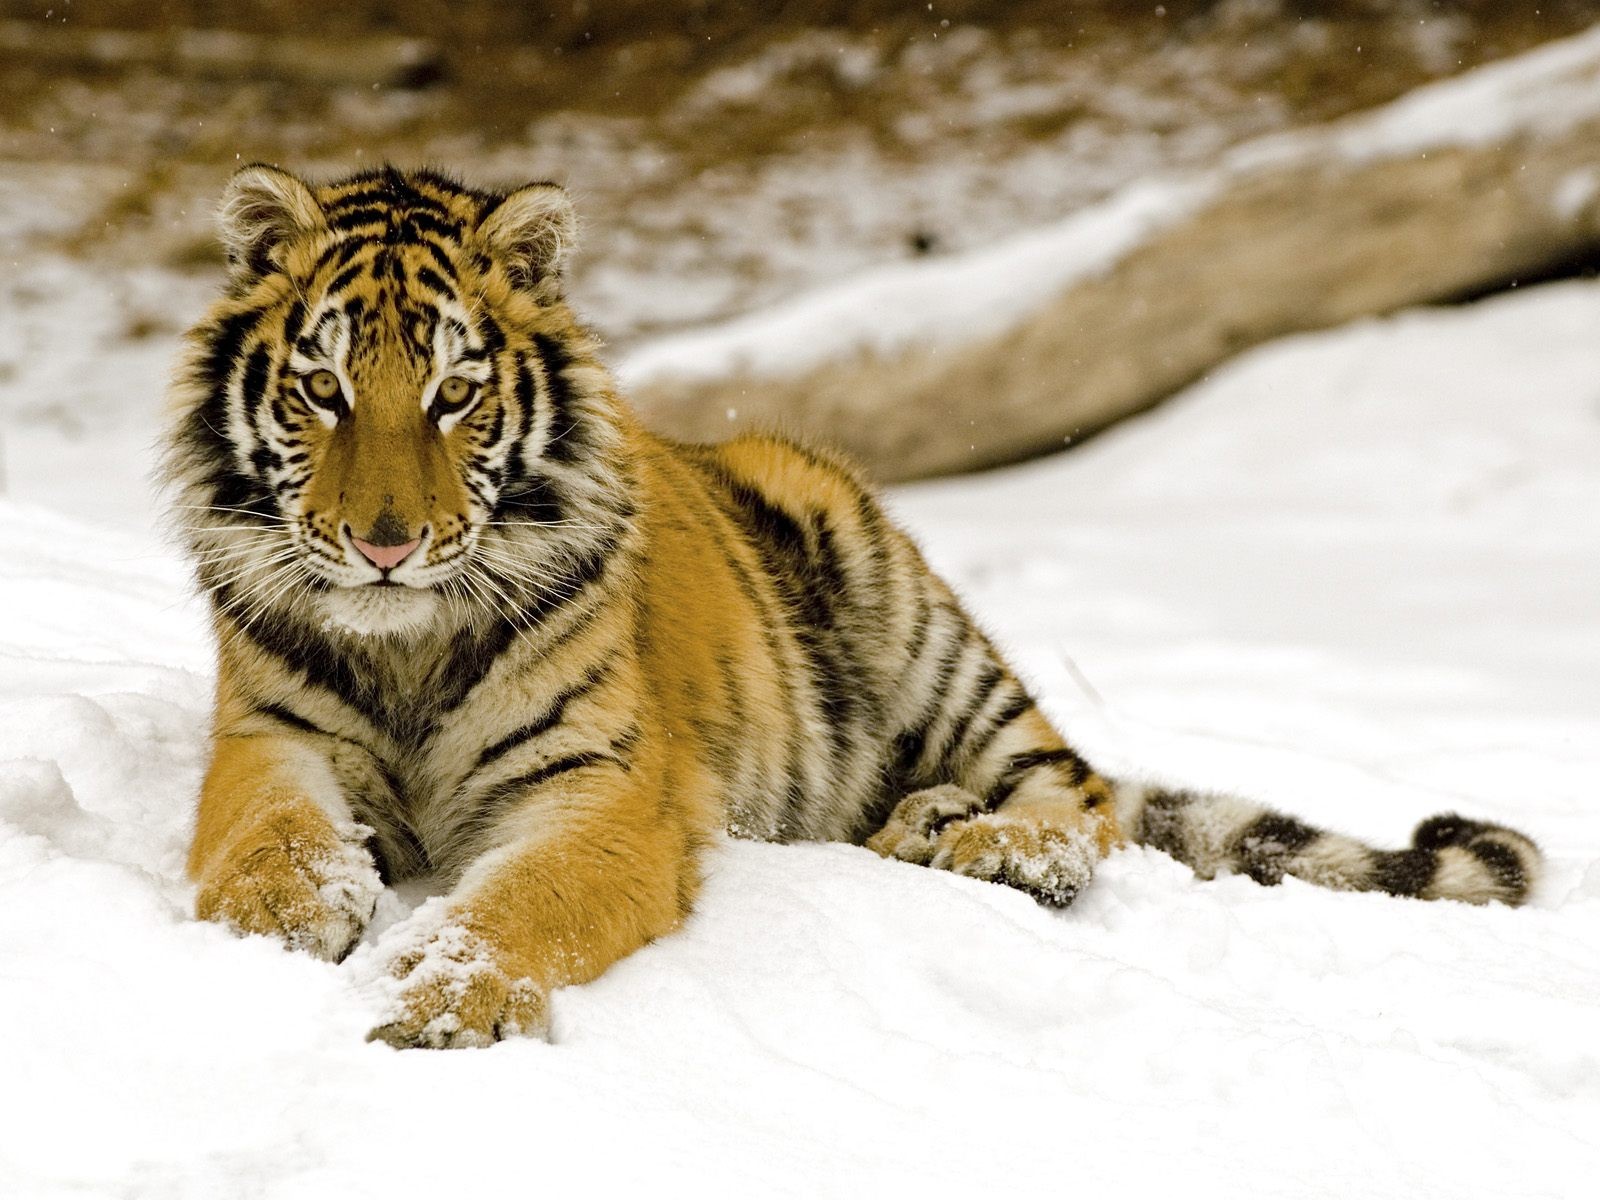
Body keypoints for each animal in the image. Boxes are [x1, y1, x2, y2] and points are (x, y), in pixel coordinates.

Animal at [163, 164, 1543, 1049]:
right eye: (324, 390)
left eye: (454, 394)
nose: (385, 544)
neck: (406, 642)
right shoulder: (269, 736)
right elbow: (266, 835)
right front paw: (282, 922)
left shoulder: (605, 790)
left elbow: (520, 901)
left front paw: (443, 998)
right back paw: (923, 825)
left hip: (905, 605)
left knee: (1080, 794)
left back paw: (994, 844)